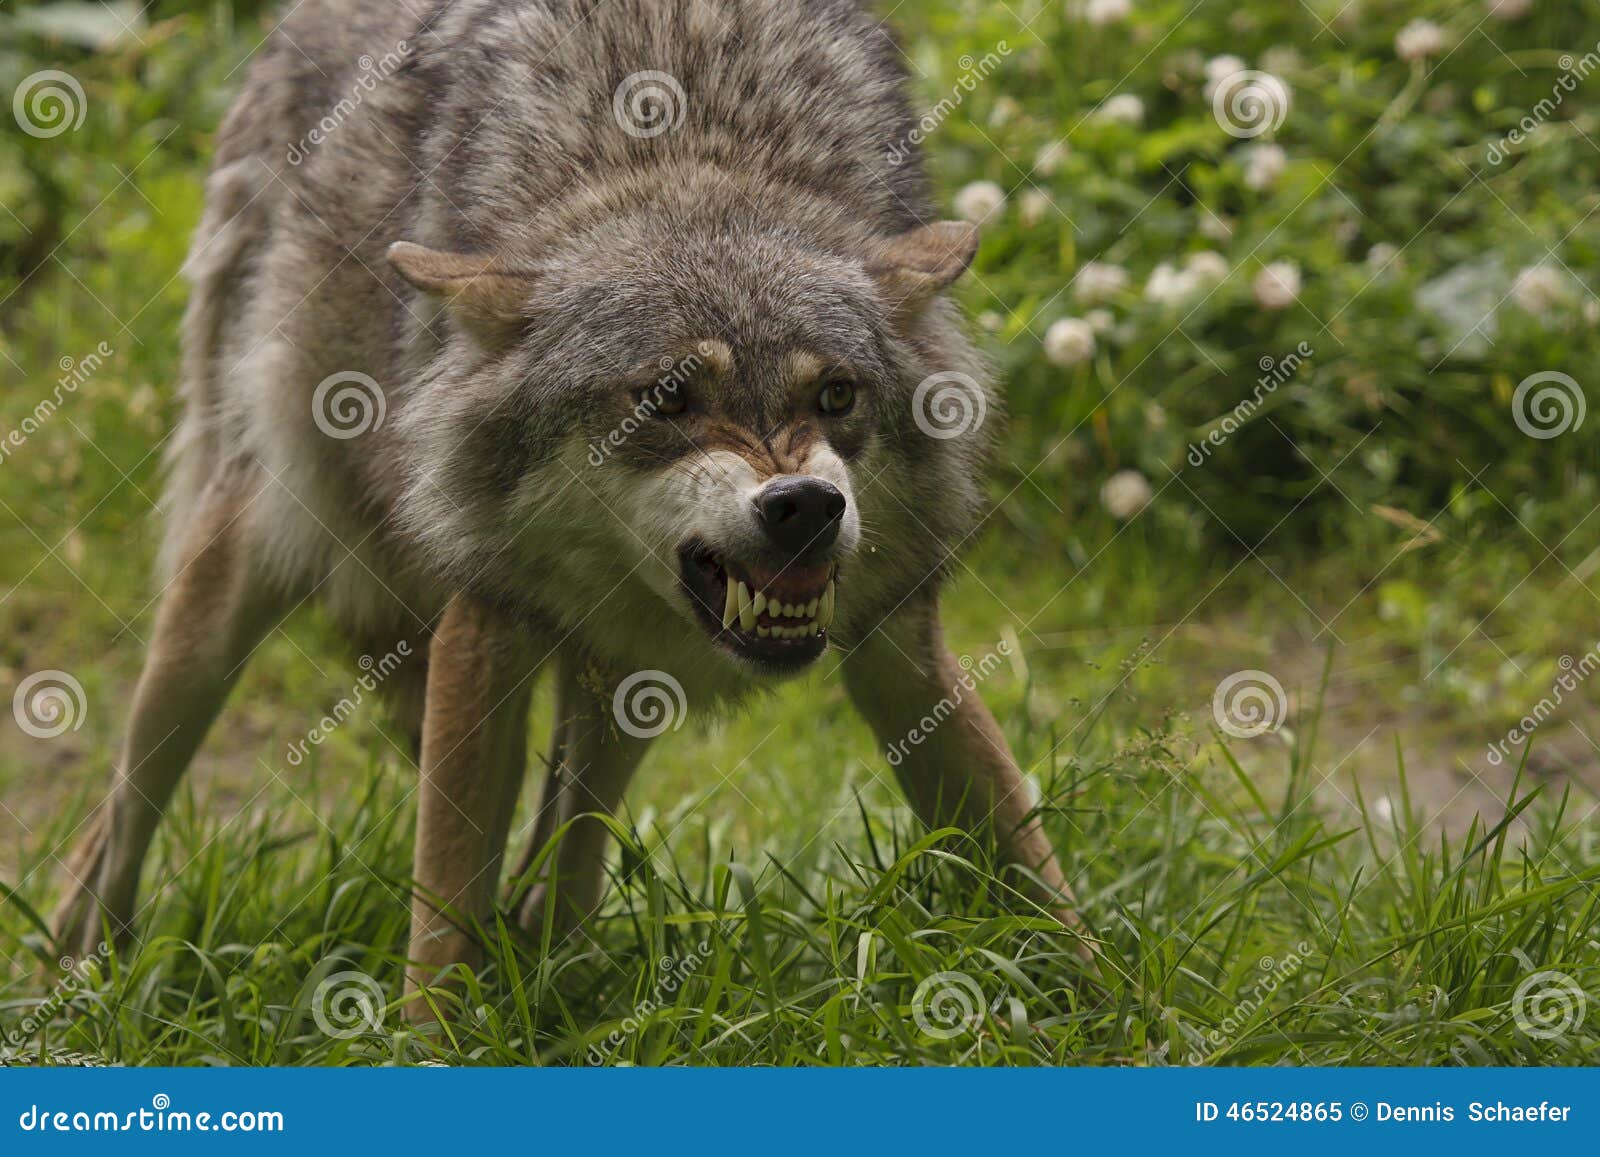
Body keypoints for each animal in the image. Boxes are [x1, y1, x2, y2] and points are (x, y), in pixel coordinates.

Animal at [53, 0, 1088, 1017]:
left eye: (836, 395)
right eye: (667, 399)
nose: (804, 503)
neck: (686, 149)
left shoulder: (895, 644)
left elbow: (1024, 852)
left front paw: (1097, 991)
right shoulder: (486, 618)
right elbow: (442, 908)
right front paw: (434, 1036)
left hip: (625, 679)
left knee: (570, 836)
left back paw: (549, 954)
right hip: (246, 562)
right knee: (121, 808)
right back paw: (85, 967)